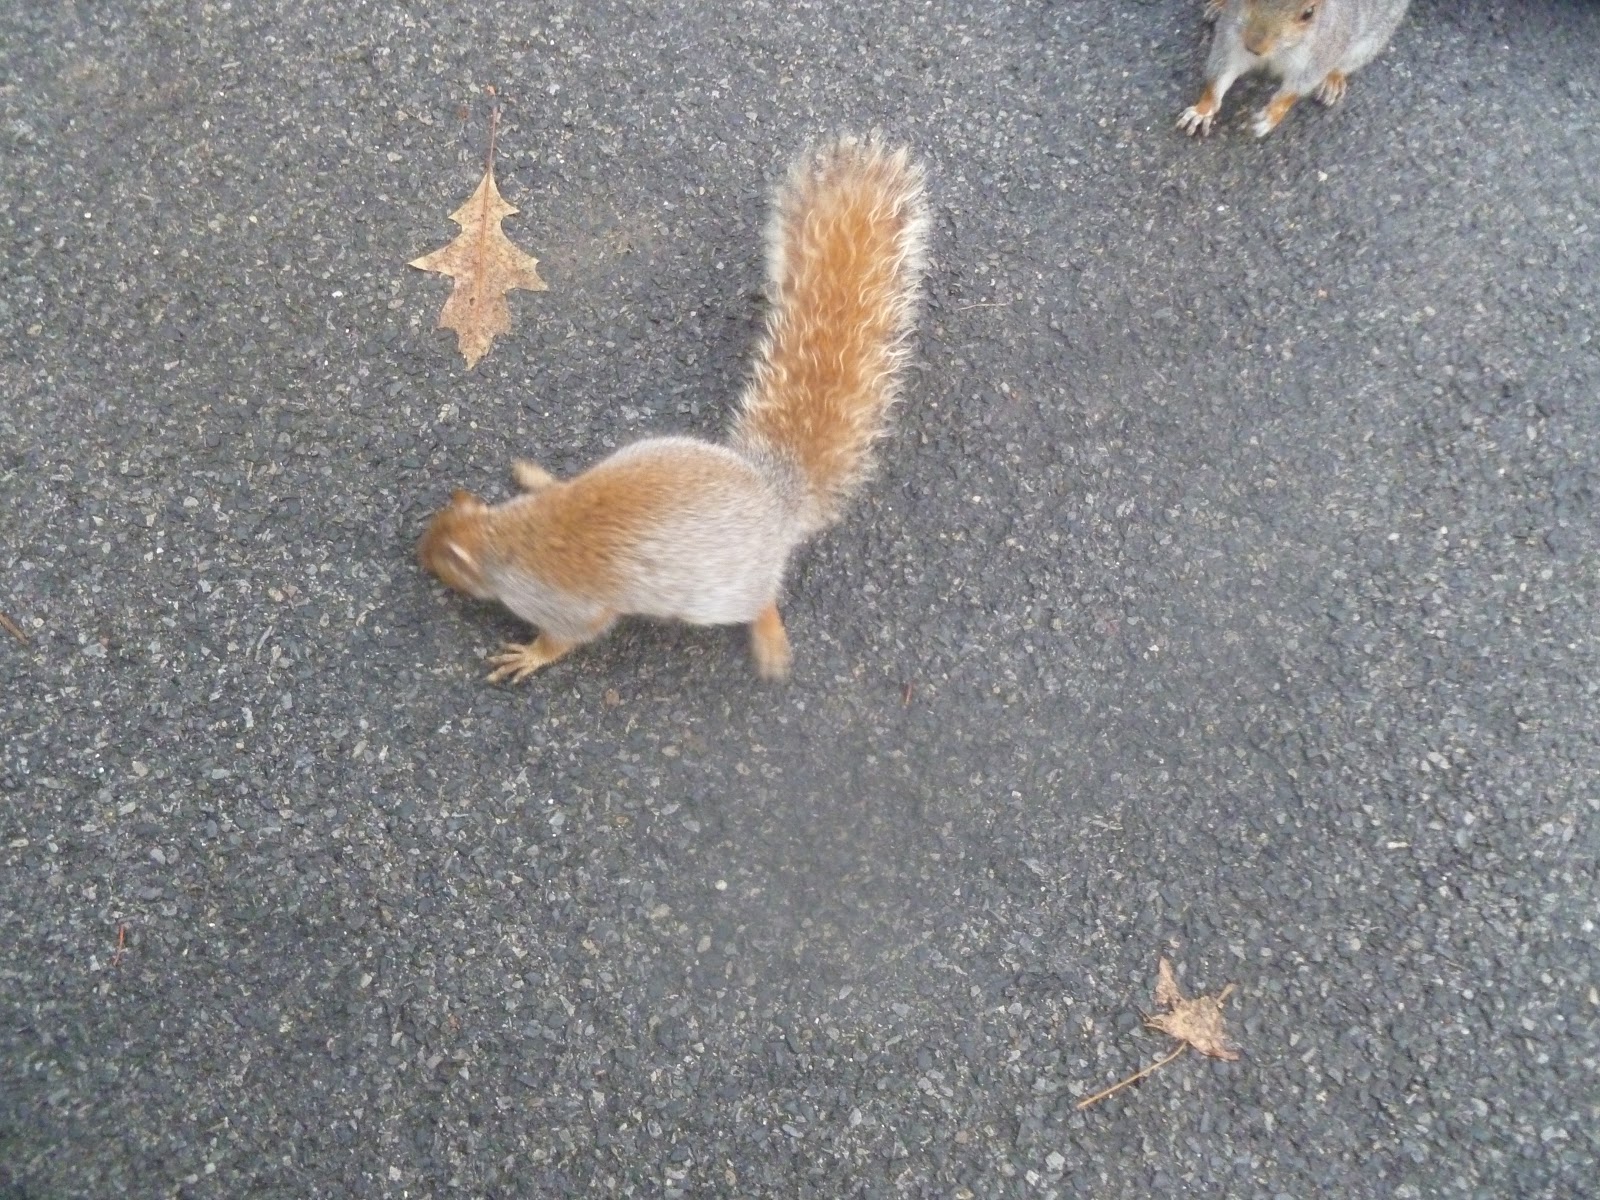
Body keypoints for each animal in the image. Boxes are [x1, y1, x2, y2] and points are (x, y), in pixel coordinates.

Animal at [418, 136, 929, 683]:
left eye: (442, 563)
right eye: (437, 522)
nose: (416, 552)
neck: (505, 536)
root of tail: (778, 494)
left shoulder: (564, 606)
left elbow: (572, 636)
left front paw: (528, 656)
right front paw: (533, 473)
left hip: (725, 592)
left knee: (763, 599)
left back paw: (769, 638)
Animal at [1178, 0, 1410, 138]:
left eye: (1309, 13)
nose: (1254, 46)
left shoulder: (1320, 55)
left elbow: (1294, 90)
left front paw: (1270, 116)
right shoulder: (1230, 37)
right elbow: (1220, 73)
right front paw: (1202, 110)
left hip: (1373, 37)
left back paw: (1333, 80)